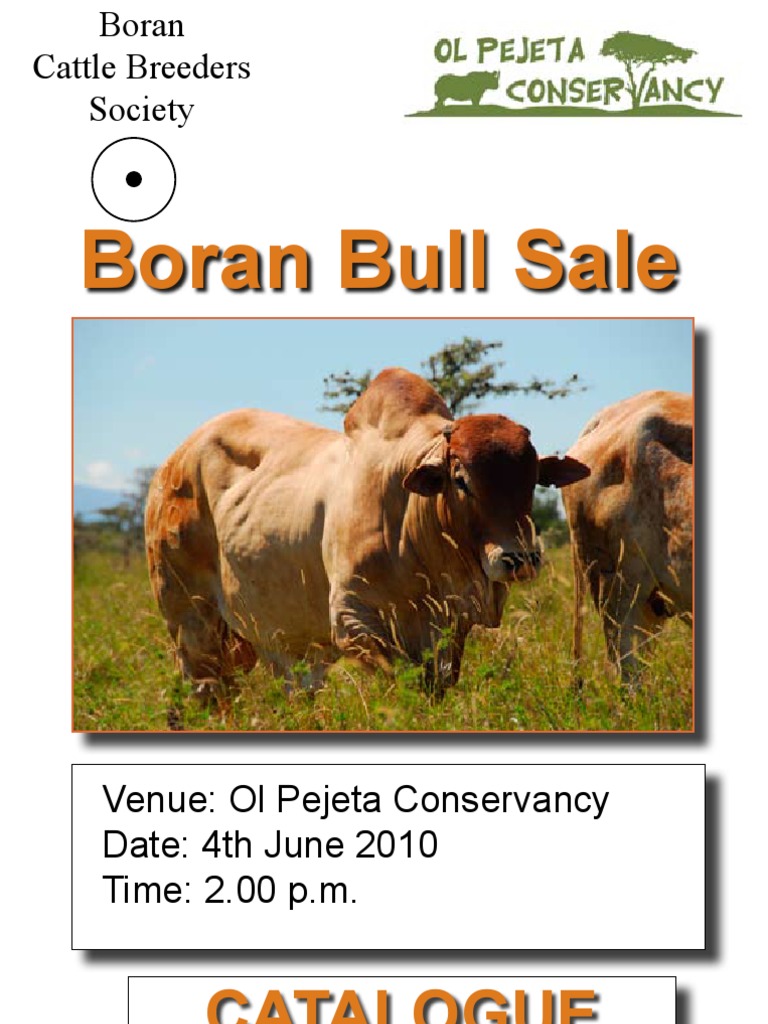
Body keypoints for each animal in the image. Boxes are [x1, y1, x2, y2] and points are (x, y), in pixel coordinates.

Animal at [145, 368, 589, 702]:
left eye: (533, 480)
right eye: (461, 480)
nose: (520, 559)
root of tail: (171, 465)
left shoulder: (449, 631)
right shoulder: (353, 621)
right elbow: (405, 686)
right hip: (190, 624)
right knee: (209, 691)